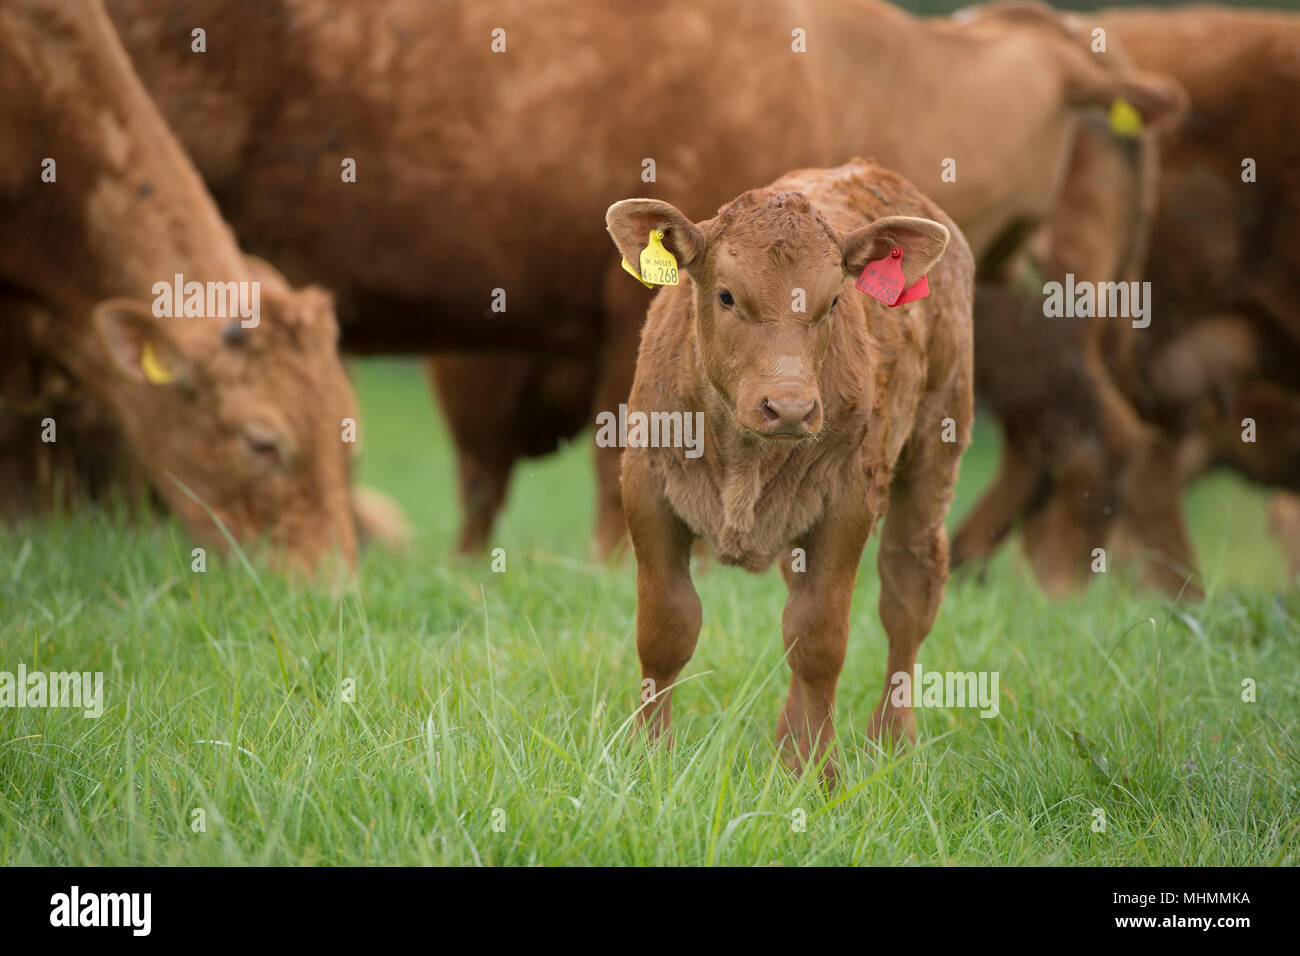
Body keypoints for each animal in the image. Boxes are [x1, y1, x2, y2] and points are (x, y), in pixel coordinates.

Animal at [607, 159, 973, 784]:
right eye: (727, 296)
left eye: (833, 303)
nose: (792, 408)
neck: (744, 460)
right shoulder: (646, 487)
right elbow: (666, 629)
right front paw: (648, 757)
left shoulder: (849, 501)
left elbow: (818, 639)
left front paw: (817, 772)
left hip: (935, 449)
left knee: (908, 594)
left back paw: (890, 740)